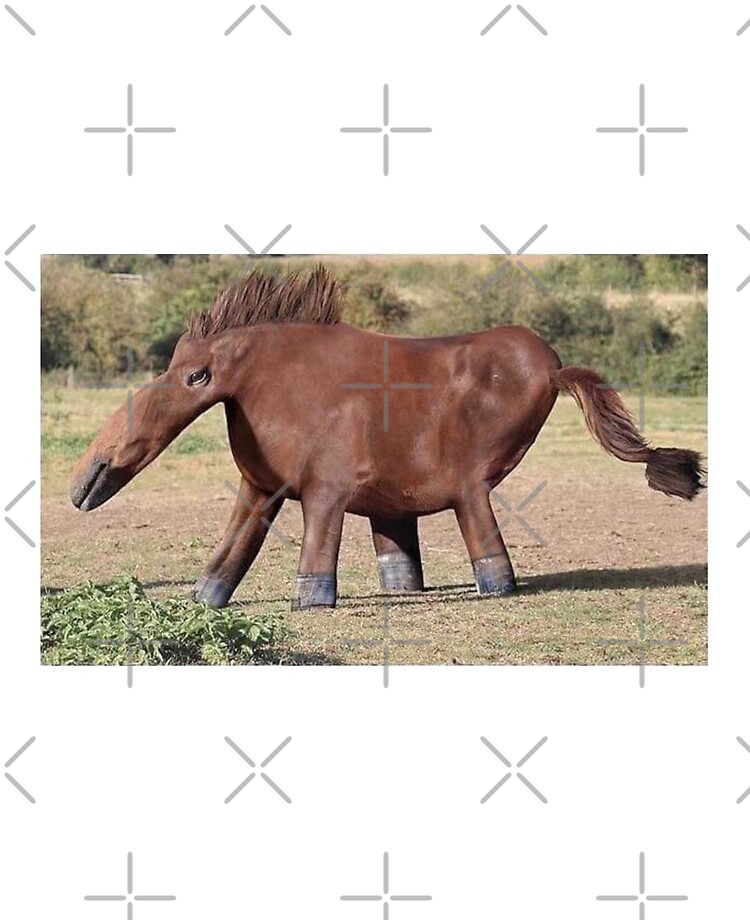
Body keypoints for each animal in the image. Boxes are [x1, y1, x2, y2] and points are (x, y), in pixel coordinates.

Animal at [70, 266, 705, 610]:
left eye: (197, 377)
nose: (85, 482)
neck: (273, 382)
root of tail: (553, 366)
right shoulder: (260, 487)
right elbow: (228, 553)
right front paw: (201, 601)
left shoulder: (325, 489)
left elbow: (315, 553)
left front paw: (309, 602)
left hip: (469, 485)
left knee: (485, 538)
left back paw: (495, 588)